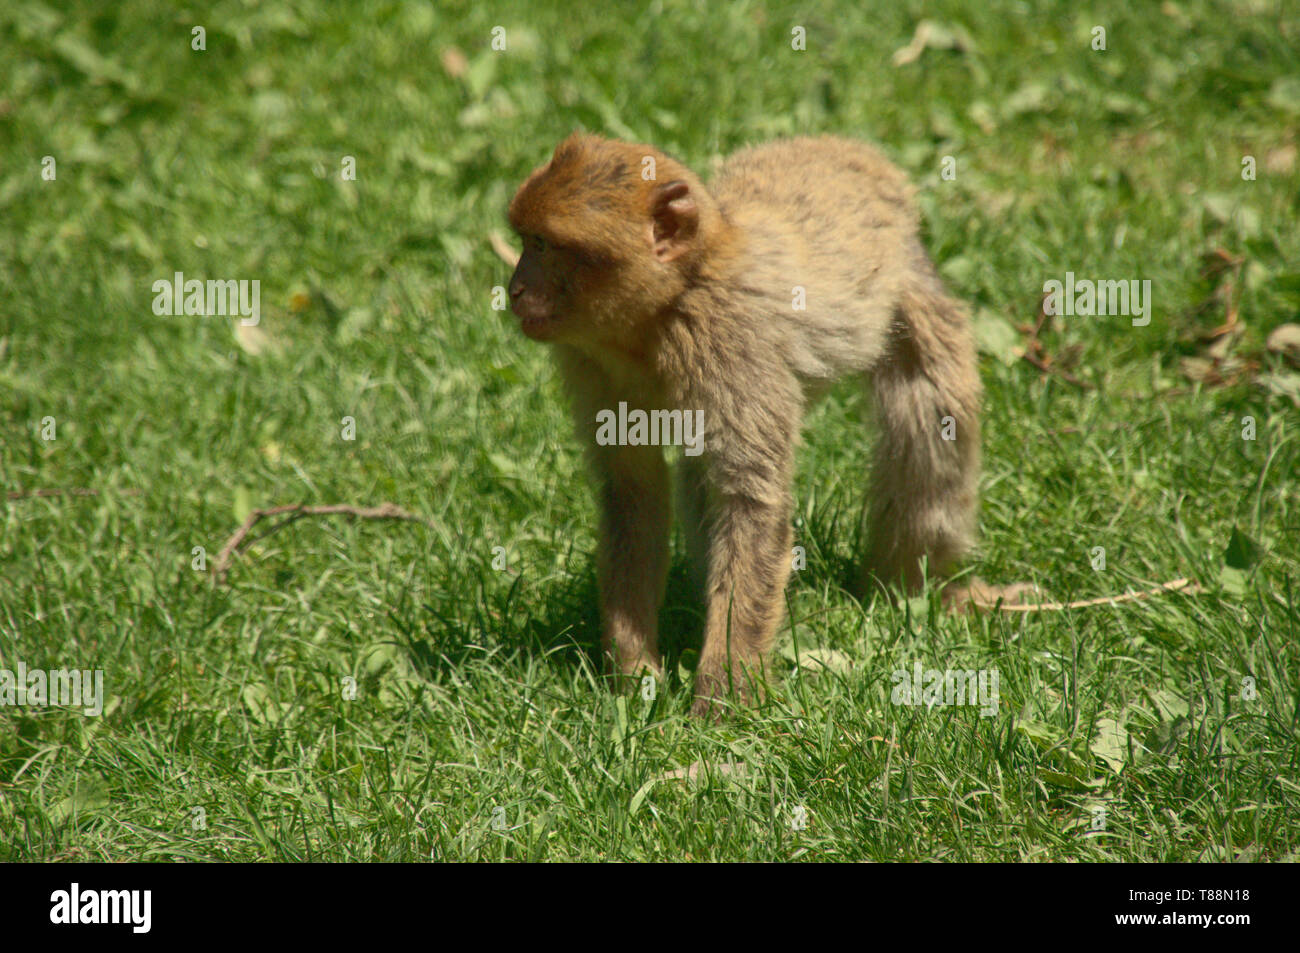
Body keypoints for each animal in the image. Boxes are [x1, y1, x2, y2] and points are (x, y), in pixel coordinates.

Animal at [506, 132, 981, 716]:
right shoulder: (590, 361)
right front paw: (635, 678)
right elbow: (632, 493)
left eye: (544, 245)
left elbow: (749, 500)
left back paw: (906, 585)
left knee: (930, 411)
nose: (514, 288)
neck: (662, 313)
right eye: (525, 240)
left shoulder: (730, 338)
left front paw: (724, 696)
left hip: (911, 284)